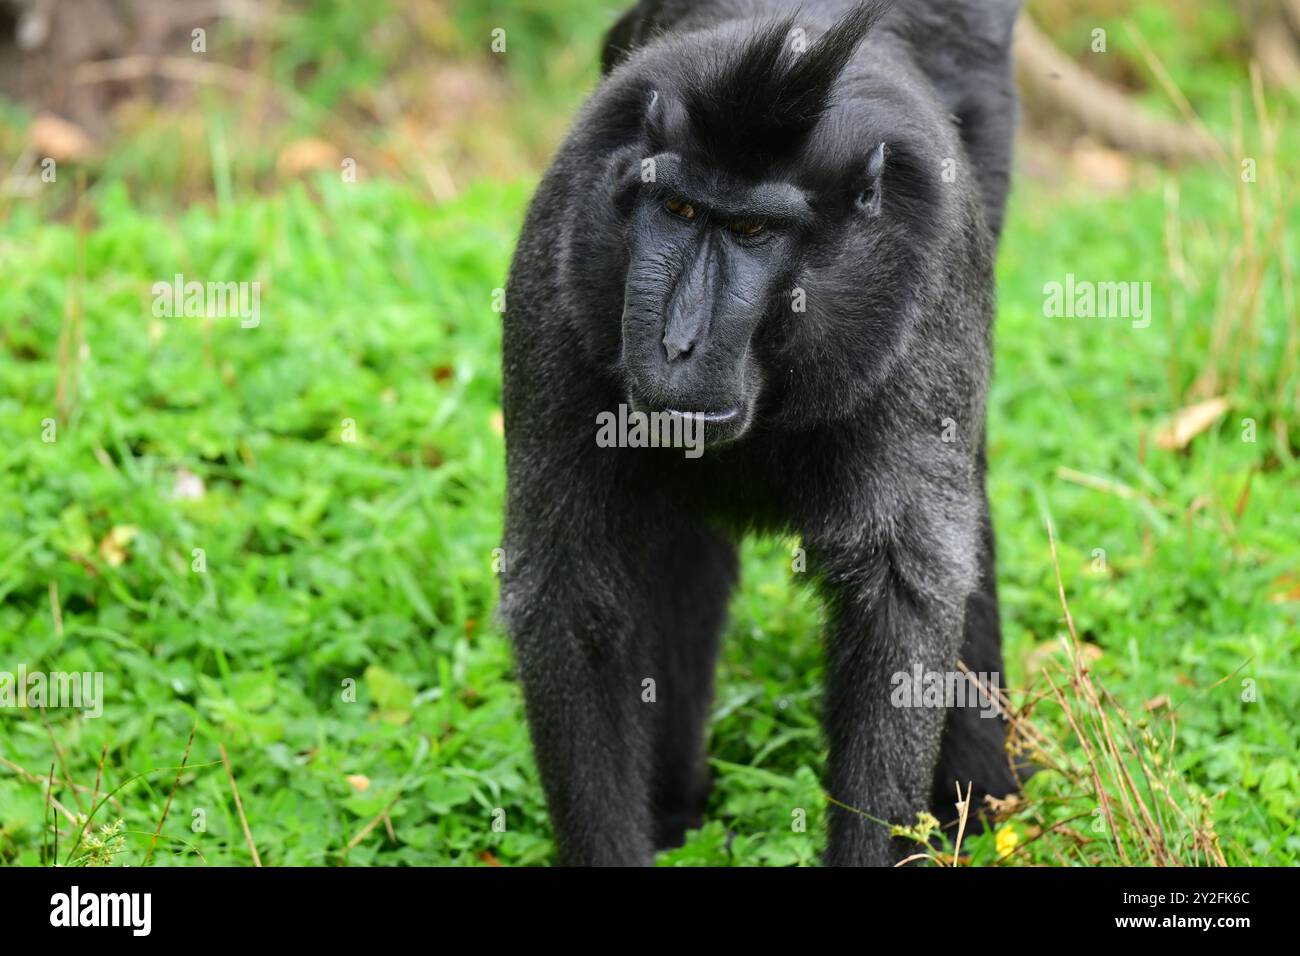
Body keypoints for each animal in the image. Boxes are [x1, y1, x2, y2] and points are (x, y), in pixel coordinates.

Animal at [500, 0, 1023, 866]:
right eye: (678, 211)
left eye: (751, 231)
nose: (676, 343)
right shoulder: (560, 265)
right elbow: (572, 589)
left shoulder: (930, 296)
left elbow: (902, 600)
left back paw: (984, 804)